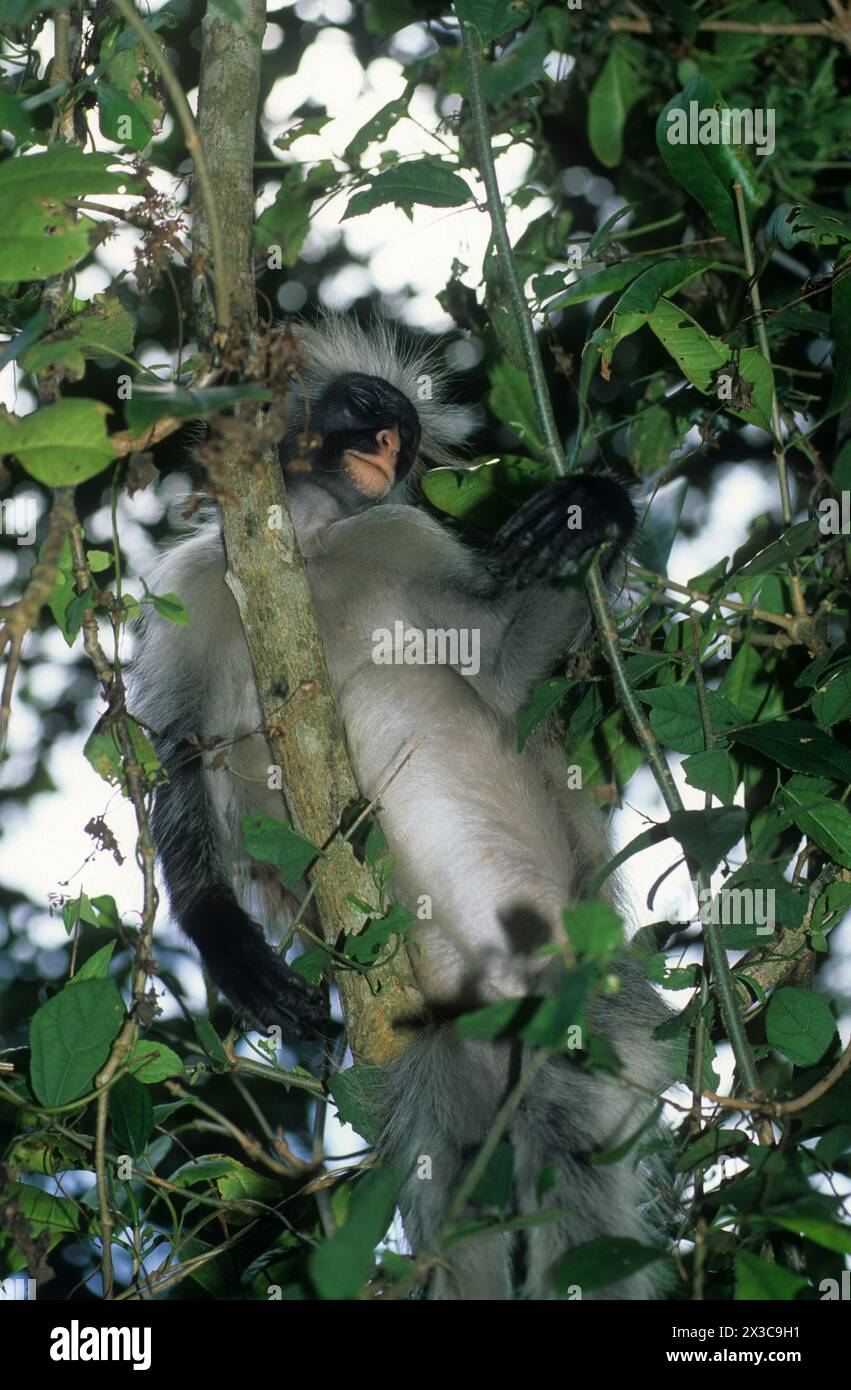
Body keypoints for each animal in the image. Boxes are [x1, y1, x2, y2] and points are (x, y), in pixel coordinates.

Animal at [131, 315, 670, 1301]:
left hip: (580, 1008)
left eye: (407, 435)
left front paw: (595, 511)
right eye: (364, 409)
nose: (388, 447)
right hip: (446, 1049)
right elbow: (181, 761)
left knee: (568, 1163)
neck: (307, 550)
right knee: (452, 1190)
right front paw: (232, 947)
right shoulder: (192, 591)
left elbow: (504, 670)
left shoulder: (400, 535)